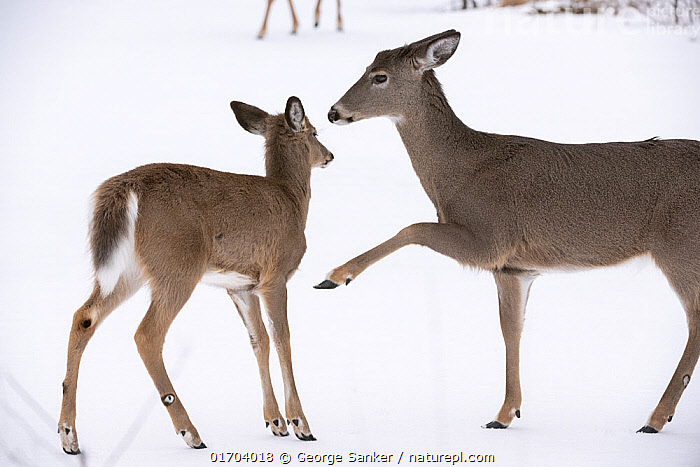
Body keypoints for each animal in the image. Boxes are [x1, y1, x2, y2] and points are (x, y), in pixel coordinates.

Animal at [58, 96, 332, 454]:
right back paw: (191, 433)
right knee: (147, 334)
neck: (292, 198)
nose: (329, 156)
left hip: (128, 270)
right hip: (177, 265)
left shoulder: (241, 286)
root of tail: (125, 190)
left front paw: (275, 422)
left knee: (84, 317)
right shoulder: (275, 276)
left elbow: (258, 340)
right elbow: (282, 338)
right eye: (314, 132)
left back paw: (68, 436)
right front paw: (300, 424)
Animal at [317, 29, 700, 434]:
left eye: (380, 76)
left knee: (695, 320)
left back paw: (655, 419)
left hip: (680, 246)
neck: (459, 174)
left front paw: (335, 276)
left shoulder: (490, 239)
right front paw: (505, 413)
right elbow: (511, 330)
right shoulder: (514, 269)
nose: (333, 112)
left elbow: (413, 227)